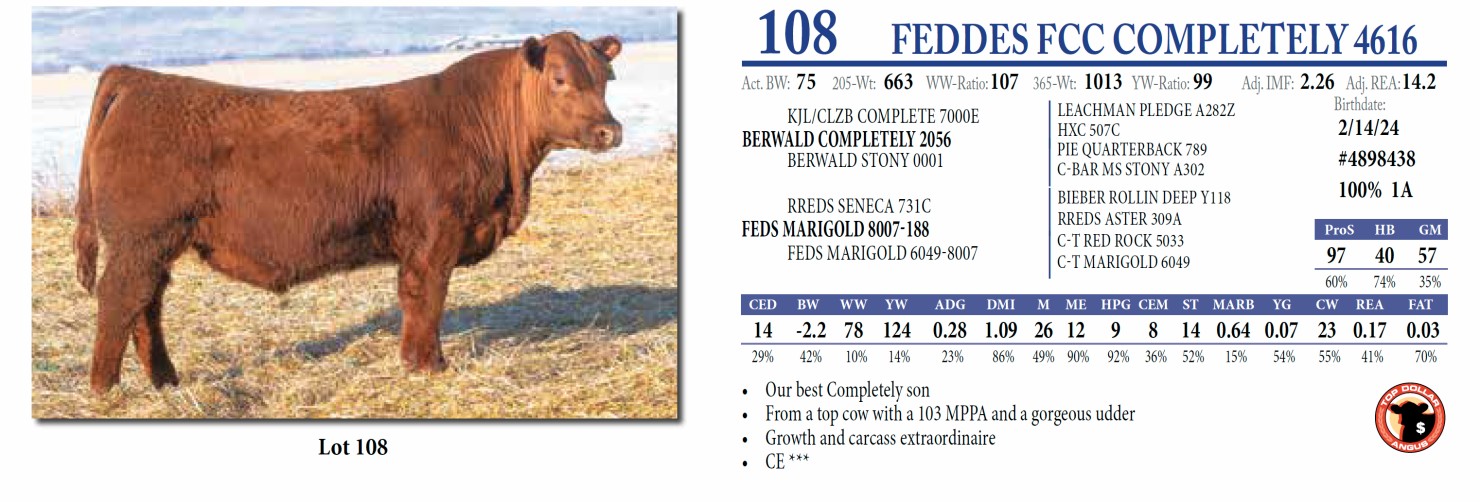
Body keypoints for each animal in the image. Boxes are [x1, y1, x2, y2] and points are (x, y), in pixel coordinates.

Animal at [72, 32, 622, 394]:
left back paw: (165, 381)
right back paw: (105, 389)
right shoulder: (434, 237)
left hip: (153, 246)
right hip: (141, 240)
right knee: (120, 300)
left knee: (147, 307)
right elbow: (427, 298)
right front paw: (427, 366)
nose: (609, 131)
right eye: (559, 79)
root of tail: (137, 78)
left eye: (605, 78)